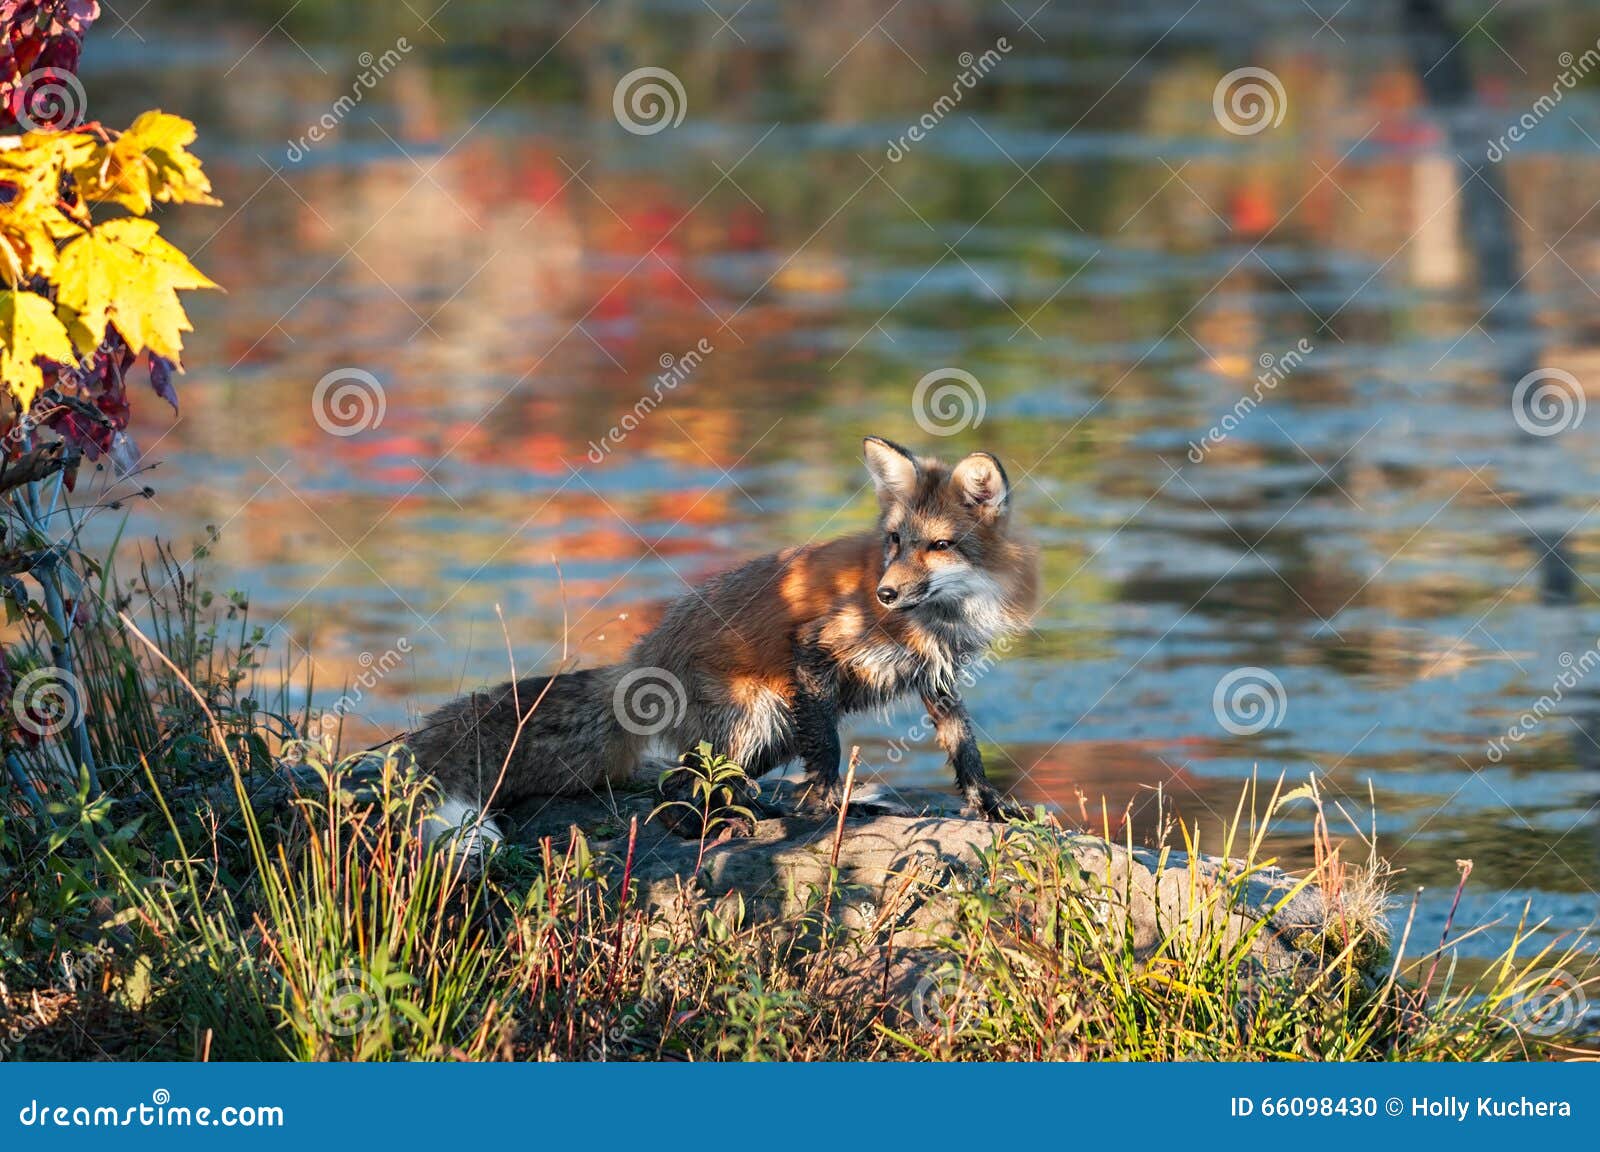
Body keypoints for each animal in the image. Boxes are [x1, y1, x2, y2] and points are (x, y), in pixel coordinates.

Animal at [409, 435, 1039, 850]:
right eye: (894, 541)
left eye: (938, 545)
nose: (884, 594)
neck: (941, 618)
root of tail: (640, 660)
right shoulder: (814, 649)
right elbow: (829, 755)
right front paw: (830, 808)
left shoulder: (936, 675)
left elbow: (966, 752)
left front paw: (992, 810)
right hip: (757, 714)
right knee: (671, 791)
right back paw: (711, 824)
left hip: (773, 733)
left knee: (705, 782)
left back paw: (752, 806)